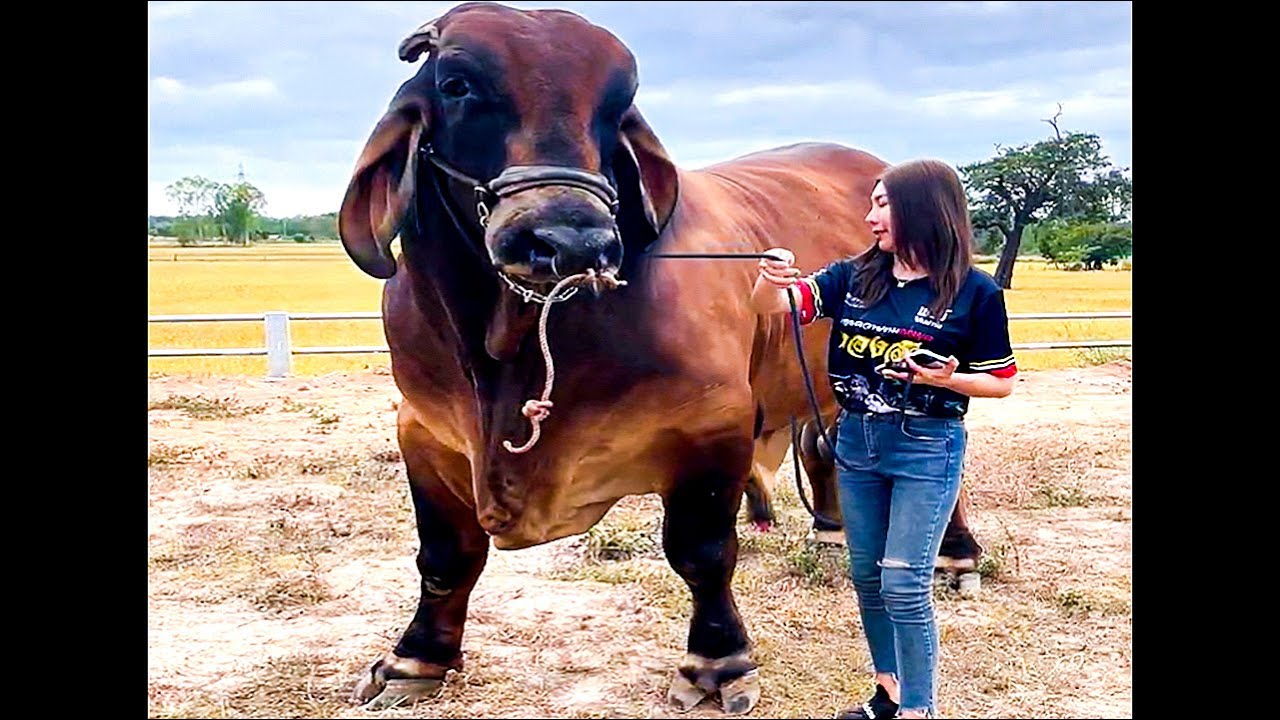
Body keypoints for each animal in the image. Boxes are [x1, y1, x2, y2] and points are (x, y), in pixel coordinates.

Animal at [337, 2, 976, 713]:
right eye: (456, 85)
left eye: (619, 107)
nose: (569, 240)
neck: (504, 351)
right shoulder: (423, 429)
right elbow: (446, 555)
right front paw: (417, 657)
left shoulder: (712, 426)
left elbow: (701, 552)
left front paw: (718, 662)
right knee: (825, 448)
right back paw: (834, 531)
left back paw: (956, 557)